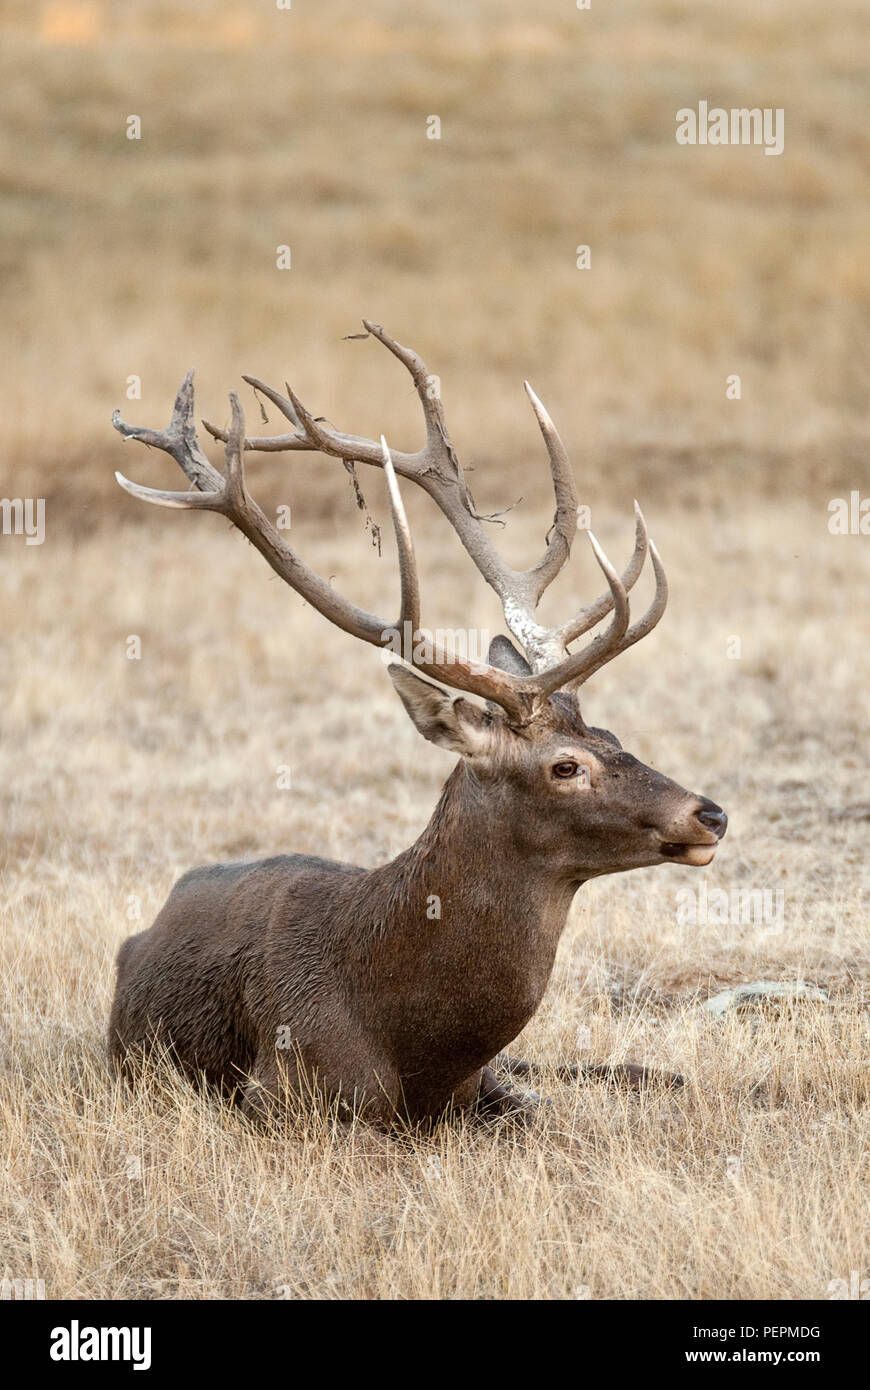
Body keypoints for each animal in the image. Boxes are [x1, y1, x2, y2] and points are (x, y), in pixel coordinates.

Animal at [108, 321, 727, 1127]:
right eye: (566, 766)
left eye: (614, 739)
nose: (710, 813)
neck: (416, 1042)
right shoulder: (282, 1092)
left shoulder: (489, 1085)